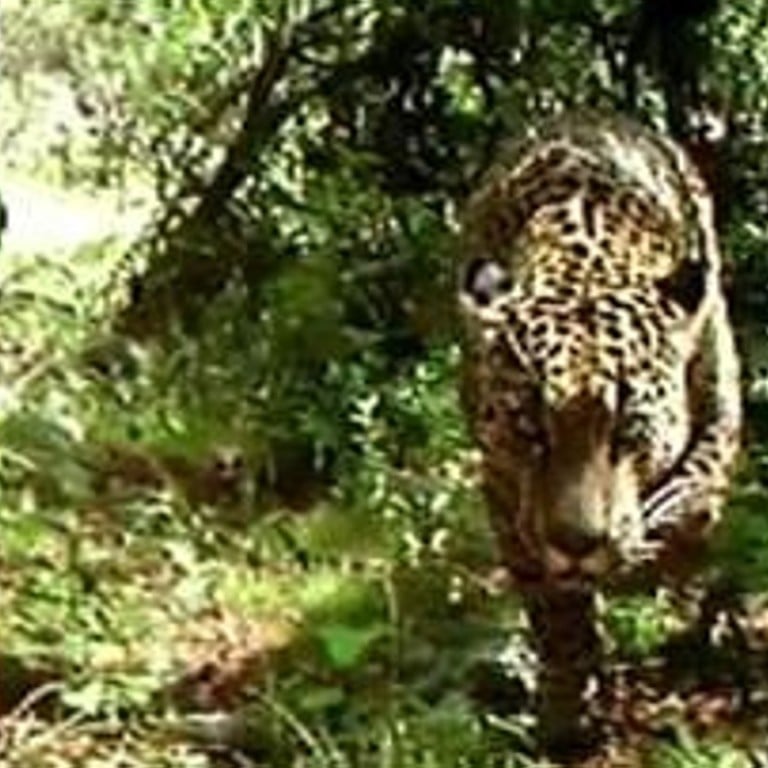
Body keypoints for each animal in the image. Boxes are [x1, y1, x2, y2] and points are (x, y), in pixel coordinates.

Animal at [457, 112, 741, 755]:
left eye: (627, 431)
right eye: (529, 429)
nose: (578, 544)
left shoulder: (720, 410)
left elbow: (693, 499)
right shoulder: (502, 485)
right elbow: (554, 612)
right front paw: (567, 710)